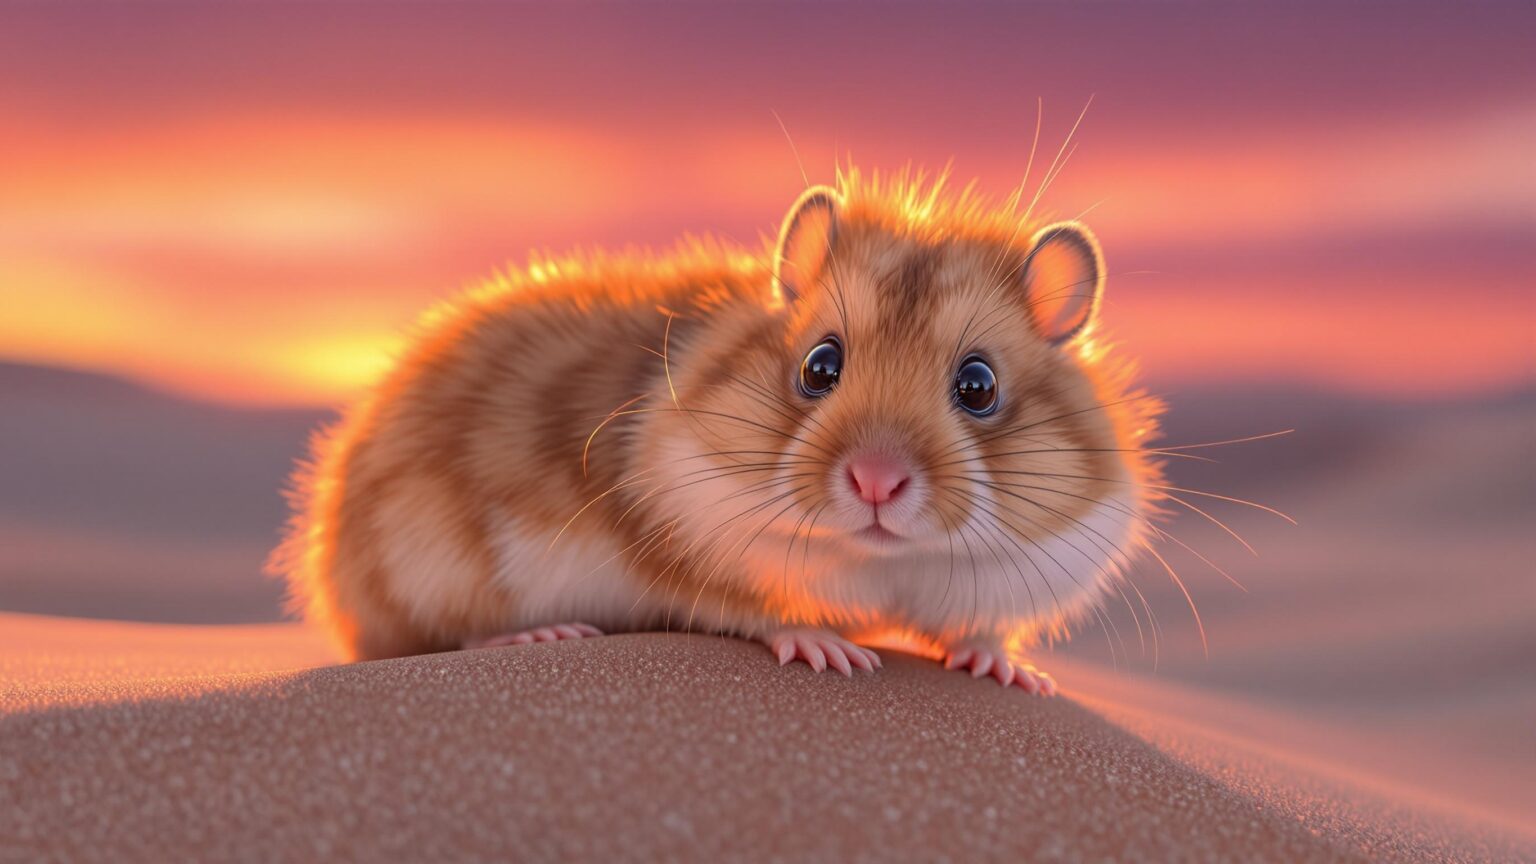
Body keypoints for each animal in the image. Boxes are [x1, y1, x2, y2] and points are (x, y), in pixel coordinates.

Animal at [271, 167, 1164, 695]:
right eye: (819, 365)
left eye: (978, 386)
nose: (876, 482)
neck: (882, 567)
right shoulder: (693, 556)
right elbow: (759, 608)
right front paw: (830, 648)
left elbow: (982, 629)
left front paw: (1011, 671)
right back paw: (542, 632)